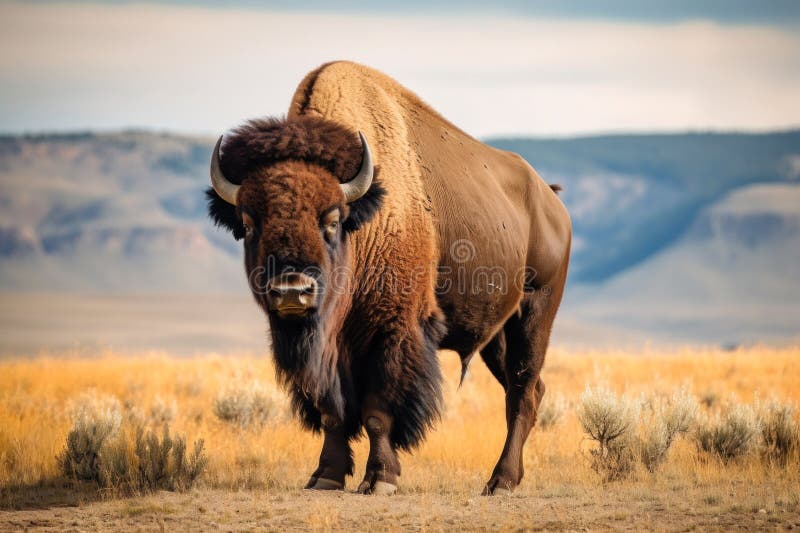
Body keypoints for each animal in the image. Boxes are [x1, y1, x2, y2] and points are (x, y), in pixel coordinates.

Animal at [207, 61, 571, 495]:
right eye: (248, 224)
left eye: (332, 220)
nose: (292, 291)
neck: (364, 219)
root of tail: (551, 201)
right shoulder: (328, 348)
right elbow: (332, 410)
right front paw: (325, 476)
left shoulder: (390, 332)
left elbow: (377, 411)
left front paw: (380, 479)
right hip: (495, 335)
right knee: (531, 389)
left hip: (534, 314)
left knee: (522, 392)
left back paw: (500, 481)